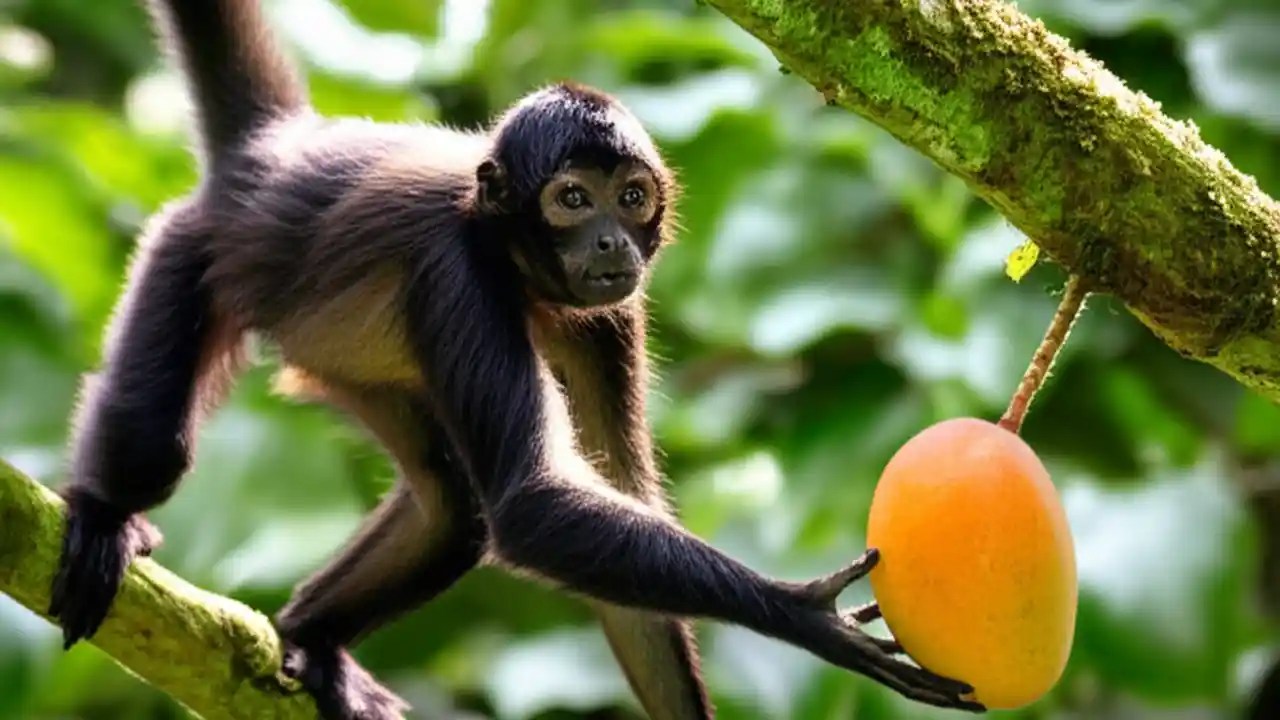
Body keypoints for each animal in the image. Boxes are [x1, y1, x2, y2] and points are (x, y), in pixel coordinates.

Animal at [45, 1, 984, 718]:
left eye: (629, 196)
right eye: (570, 199)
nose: (608, 239)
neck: (511, 256)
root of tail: (275, 154)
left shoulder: (612, 314)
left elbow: (620, 533)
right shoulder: (457, 273)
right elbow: (535, 506)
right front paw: (810, 617)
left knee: (451, 512)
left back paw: (311, 638)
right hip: (189, 251)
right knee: (159, 446)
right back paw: (105, 516)